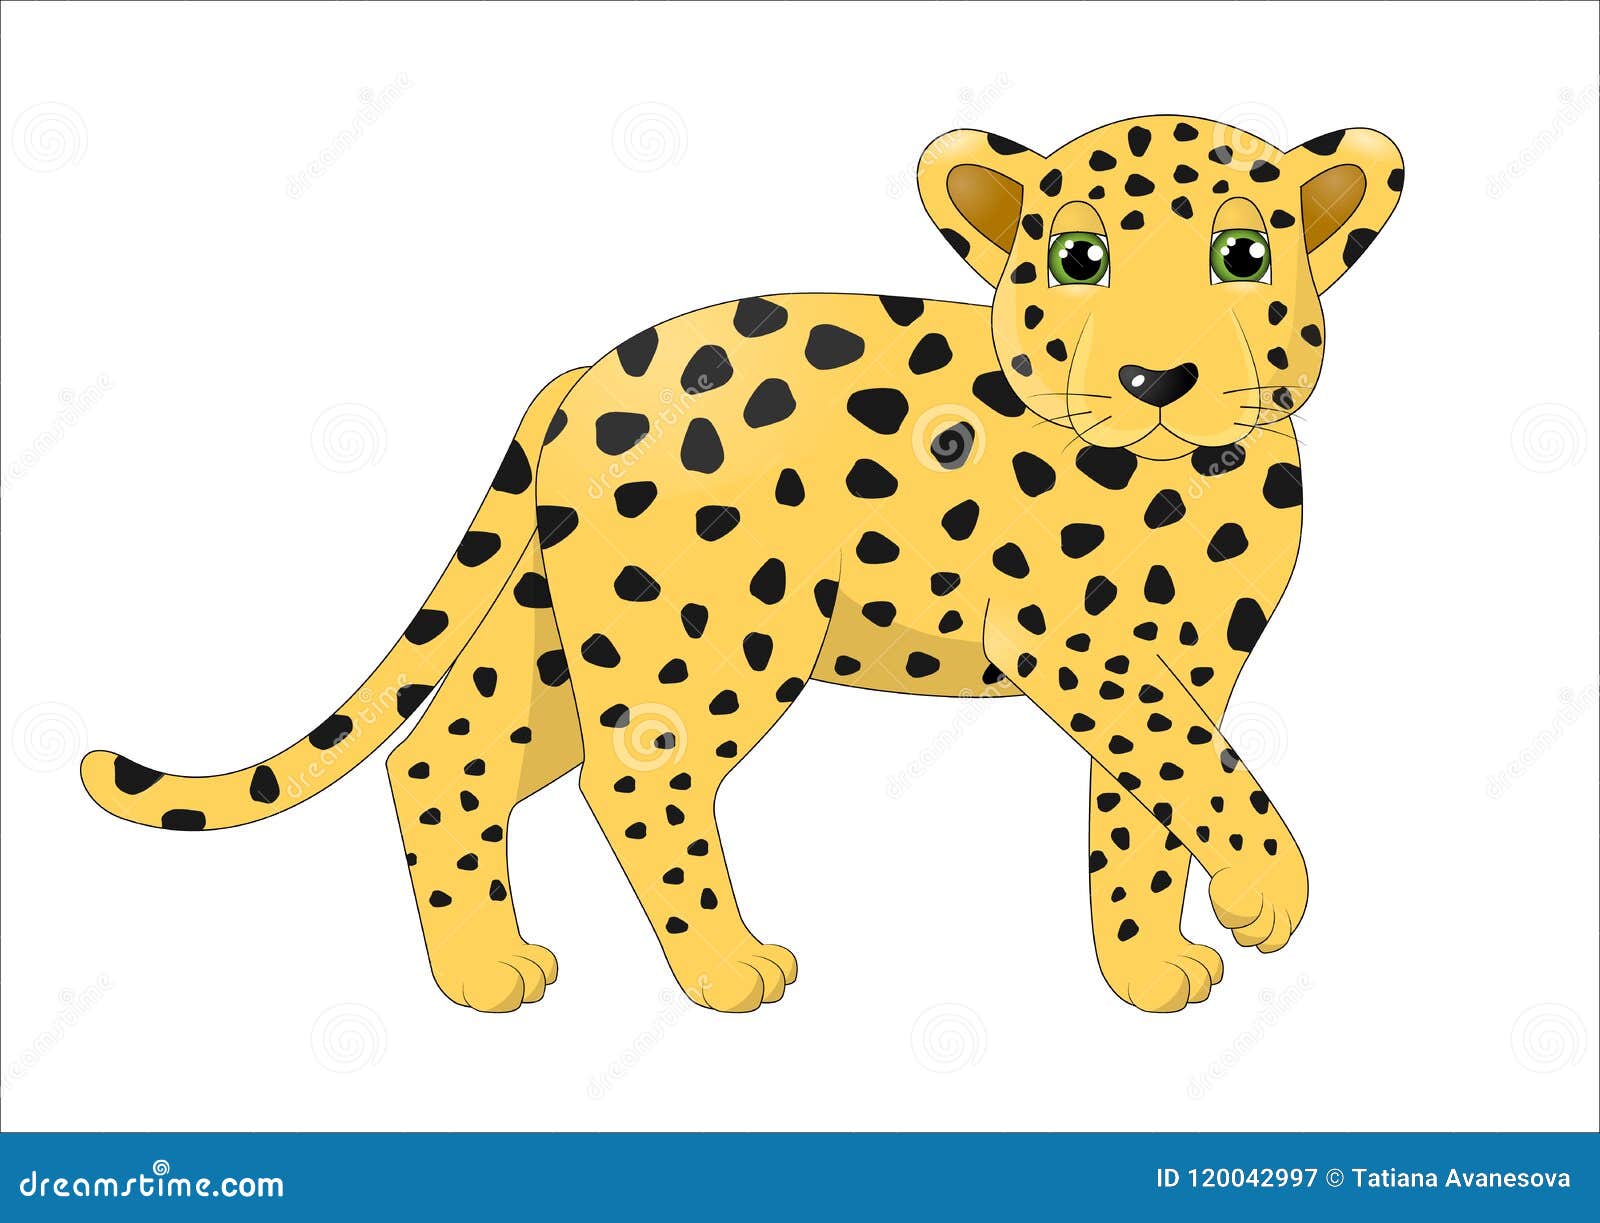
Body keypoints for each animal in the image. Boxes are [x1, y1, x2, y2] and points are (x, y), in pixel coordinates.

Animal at [83, 115, 1404, 1015]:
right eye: (1077, 259)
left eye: (1243, 254)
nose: (1156, 376)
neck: (1193, 476)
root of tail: (583, 372)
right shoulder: (1069, 639)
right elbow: (1196, 771)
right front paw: (1265, 892)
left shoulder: (1191, 659)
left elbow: (1149, 801)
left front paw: (1148, 959)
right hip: (707, 636)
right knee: (634, 783)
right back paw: (725, 963)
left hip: (556, 638)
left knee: (444, 758)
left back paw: (484, 970)